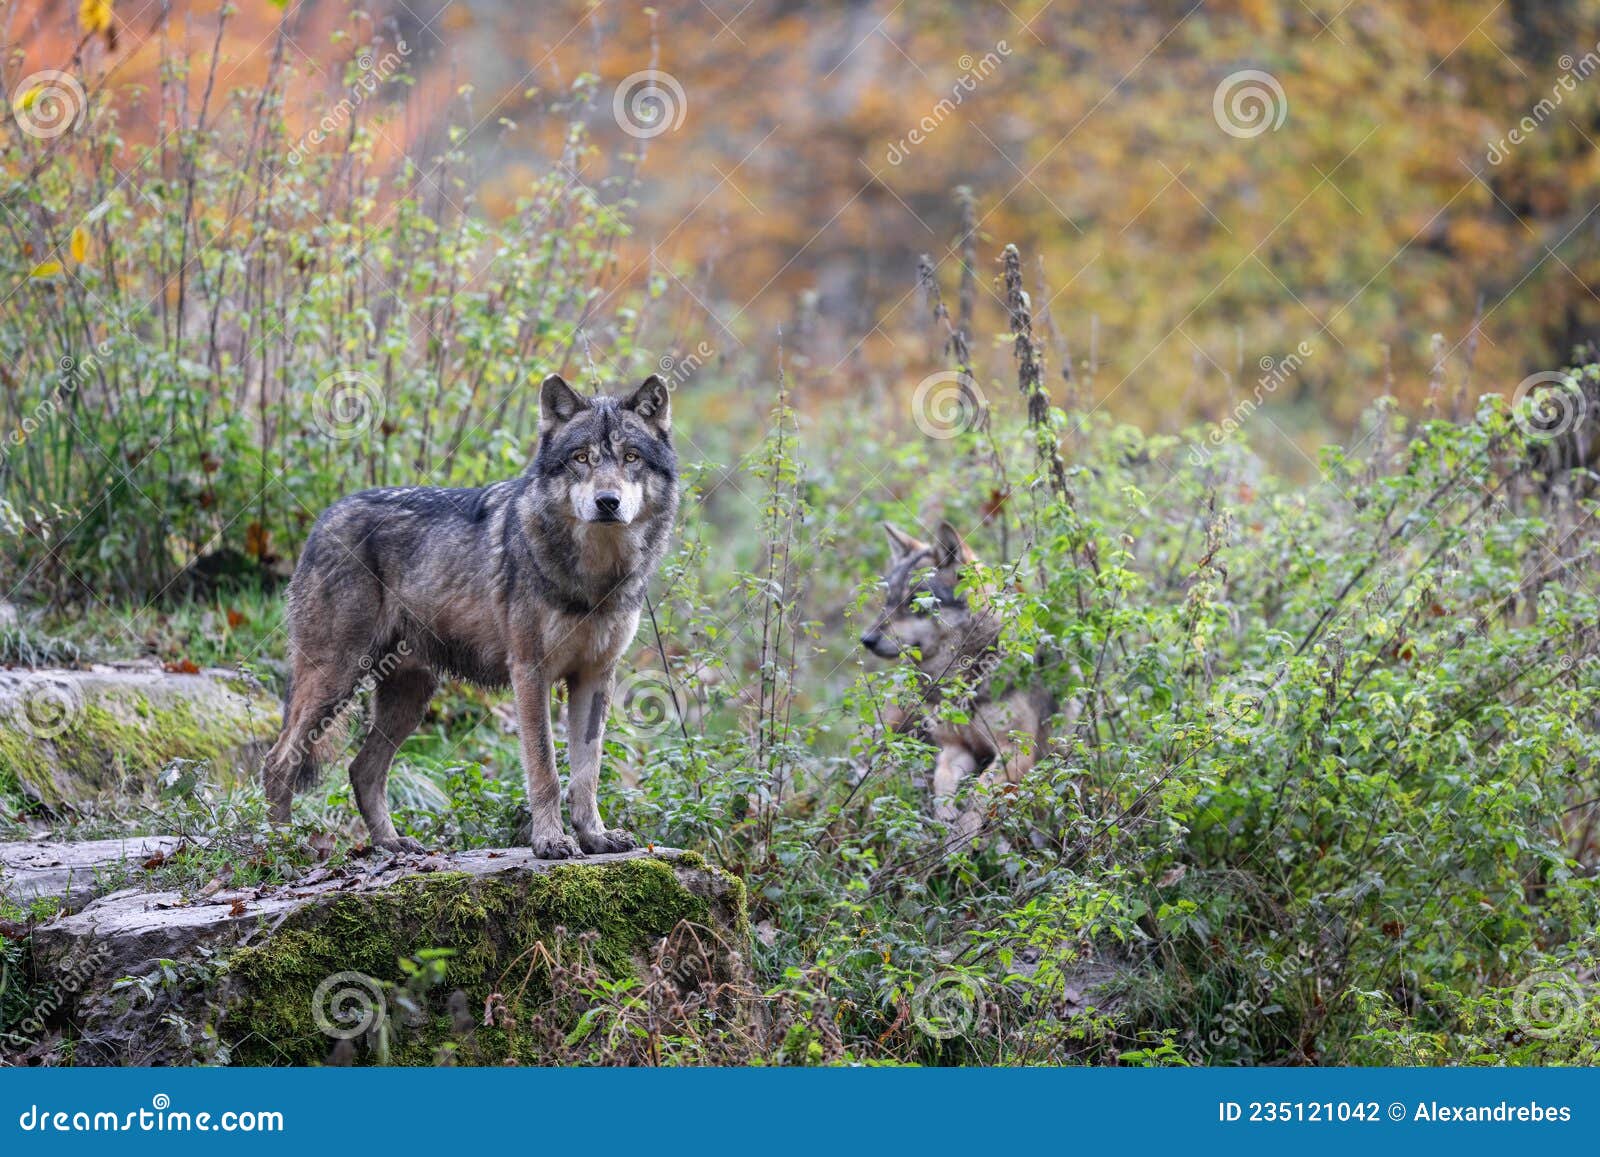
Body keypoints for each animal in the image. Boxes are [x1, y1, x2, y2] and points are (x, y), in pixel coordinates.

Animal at [262, 374, 678, 859]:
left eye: (631, 457)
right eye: (581, 458)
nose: (607, 502)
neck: (594, 578)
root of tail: (323, 518)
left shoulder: (595, 677)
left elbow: (587, 773)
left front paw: (595, 837)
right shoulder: (529, 672)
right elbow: (546, 769)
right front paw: (550, 841)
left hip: (409, 695)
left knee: (361, 769)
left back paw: (392, 843)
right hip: (338, 677)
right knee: (279, 760)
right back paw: (282, 847)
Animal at [860, 521, 1054, 838]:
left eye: (915, 602)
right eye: (888, 601)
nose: (866, 640)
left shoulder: (1015, 751)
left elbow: (979, 791)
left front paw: (964, 832)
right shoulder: (954, 748)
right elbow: (943, 784)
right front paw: (945, 820)